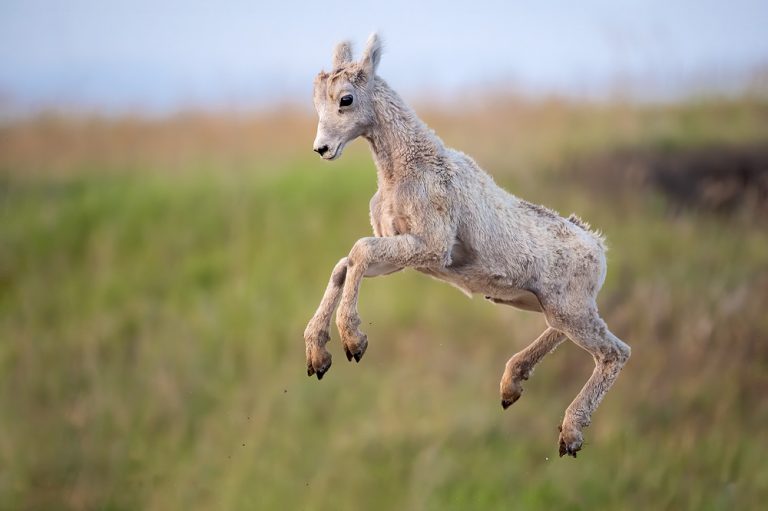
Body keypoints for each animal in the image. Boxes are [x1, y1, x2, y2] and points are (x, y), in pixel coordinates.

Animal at [304, 33, 630, 457]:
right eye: (316, 101)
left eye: (346, 99)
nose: (322, 148)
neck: (406, 168)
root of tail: (599, 249)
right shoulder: (400, 252)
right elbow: (345, 265)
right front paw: (318, 357)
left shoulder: (430, 247)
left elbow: (358, 251)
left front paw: (353, 343)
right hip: (551, 307)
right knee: (564, 334)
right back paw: (510, 388)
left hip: (571, 311)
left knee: (615, 352)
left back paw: (569, 436)